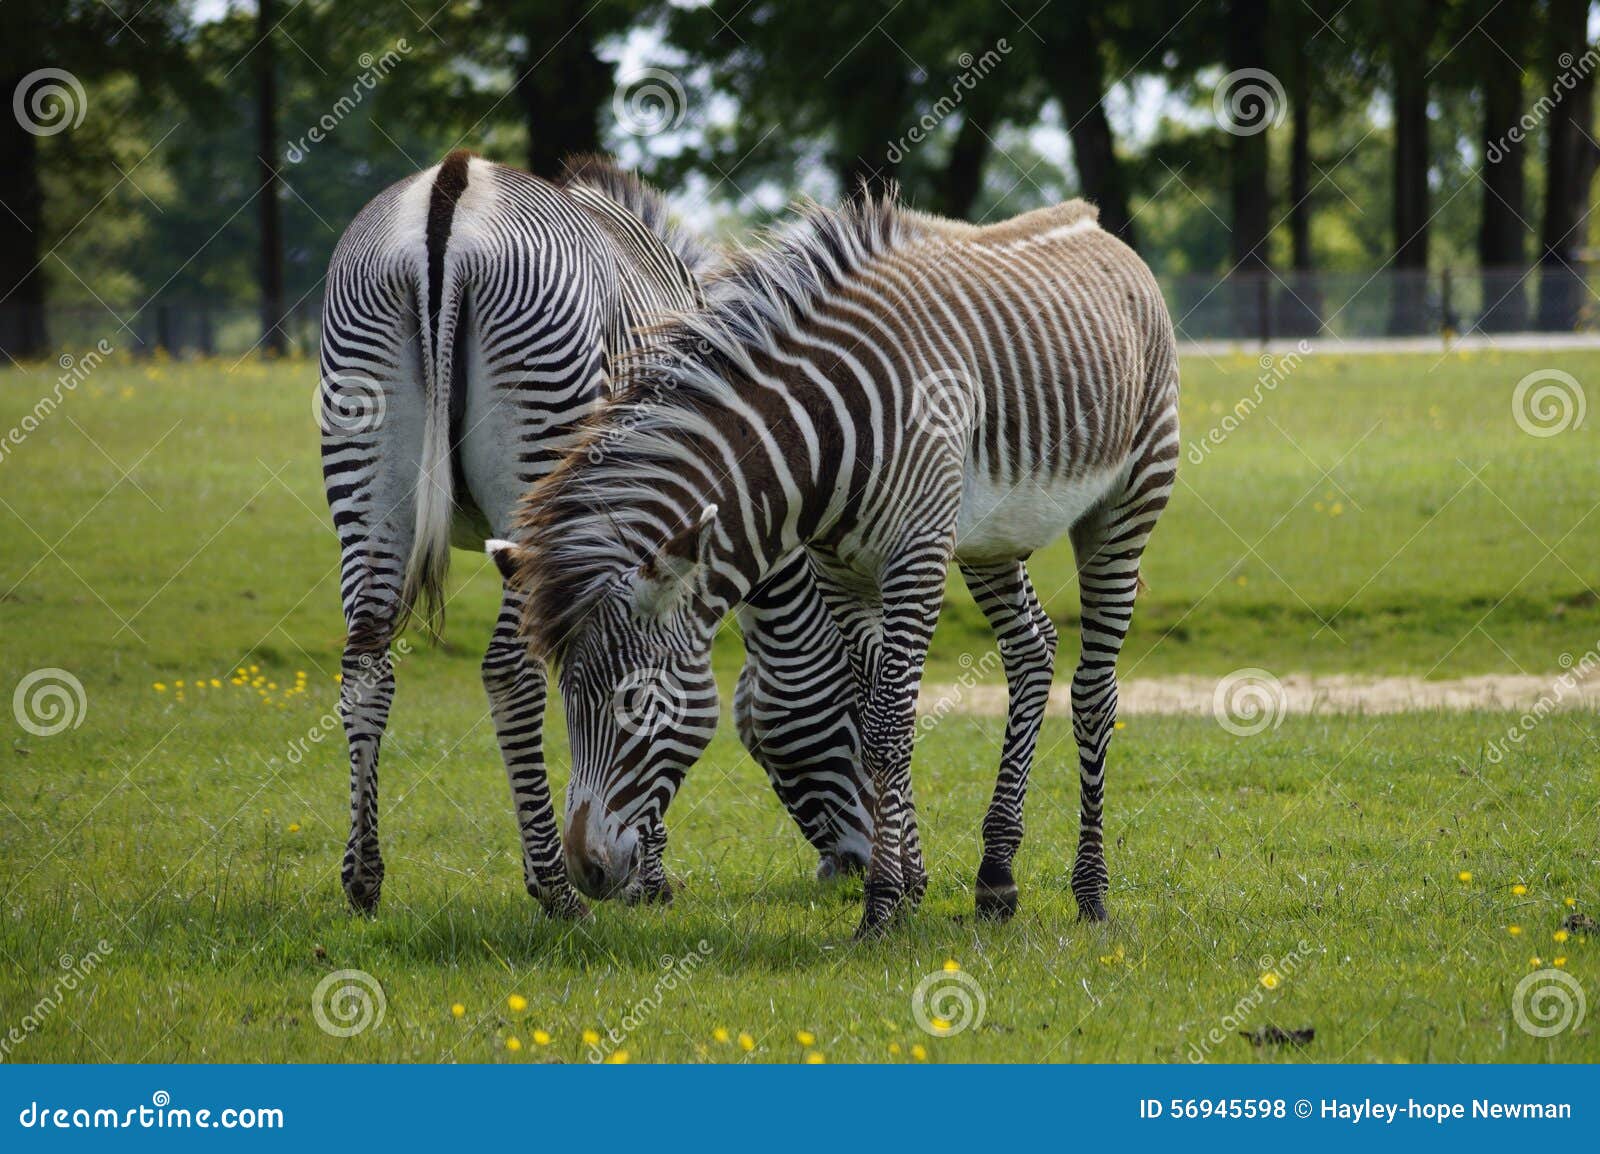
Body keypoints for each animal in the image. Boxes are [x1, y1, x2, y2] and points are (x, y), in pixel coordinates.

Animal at [317, 151, 870, 919]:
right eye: (852, 707)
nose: (851, 868)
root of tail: (450, 190)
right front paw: (648, 878)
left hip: (363, 457)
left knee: (366, 666)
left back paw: (364, 878)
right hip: (542, 449)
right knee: (511, 672)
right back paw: (555, 890)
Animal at [488, 187, 1179, 937]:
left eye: (639, 702)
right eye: (566, 698)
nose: (586, 870)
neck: (820, 442)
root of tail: (1092, 221)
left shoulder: (914, 558)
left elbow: (888, 728)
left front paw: (880, 907)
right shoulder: (841, 571)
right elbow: (872, 716)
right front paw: (904, 891)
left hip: (1128, 502)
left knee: (1095, 694)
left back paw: (1091, 892)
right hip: (988, 538)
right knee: (1032, 651)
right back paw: (996, 876)